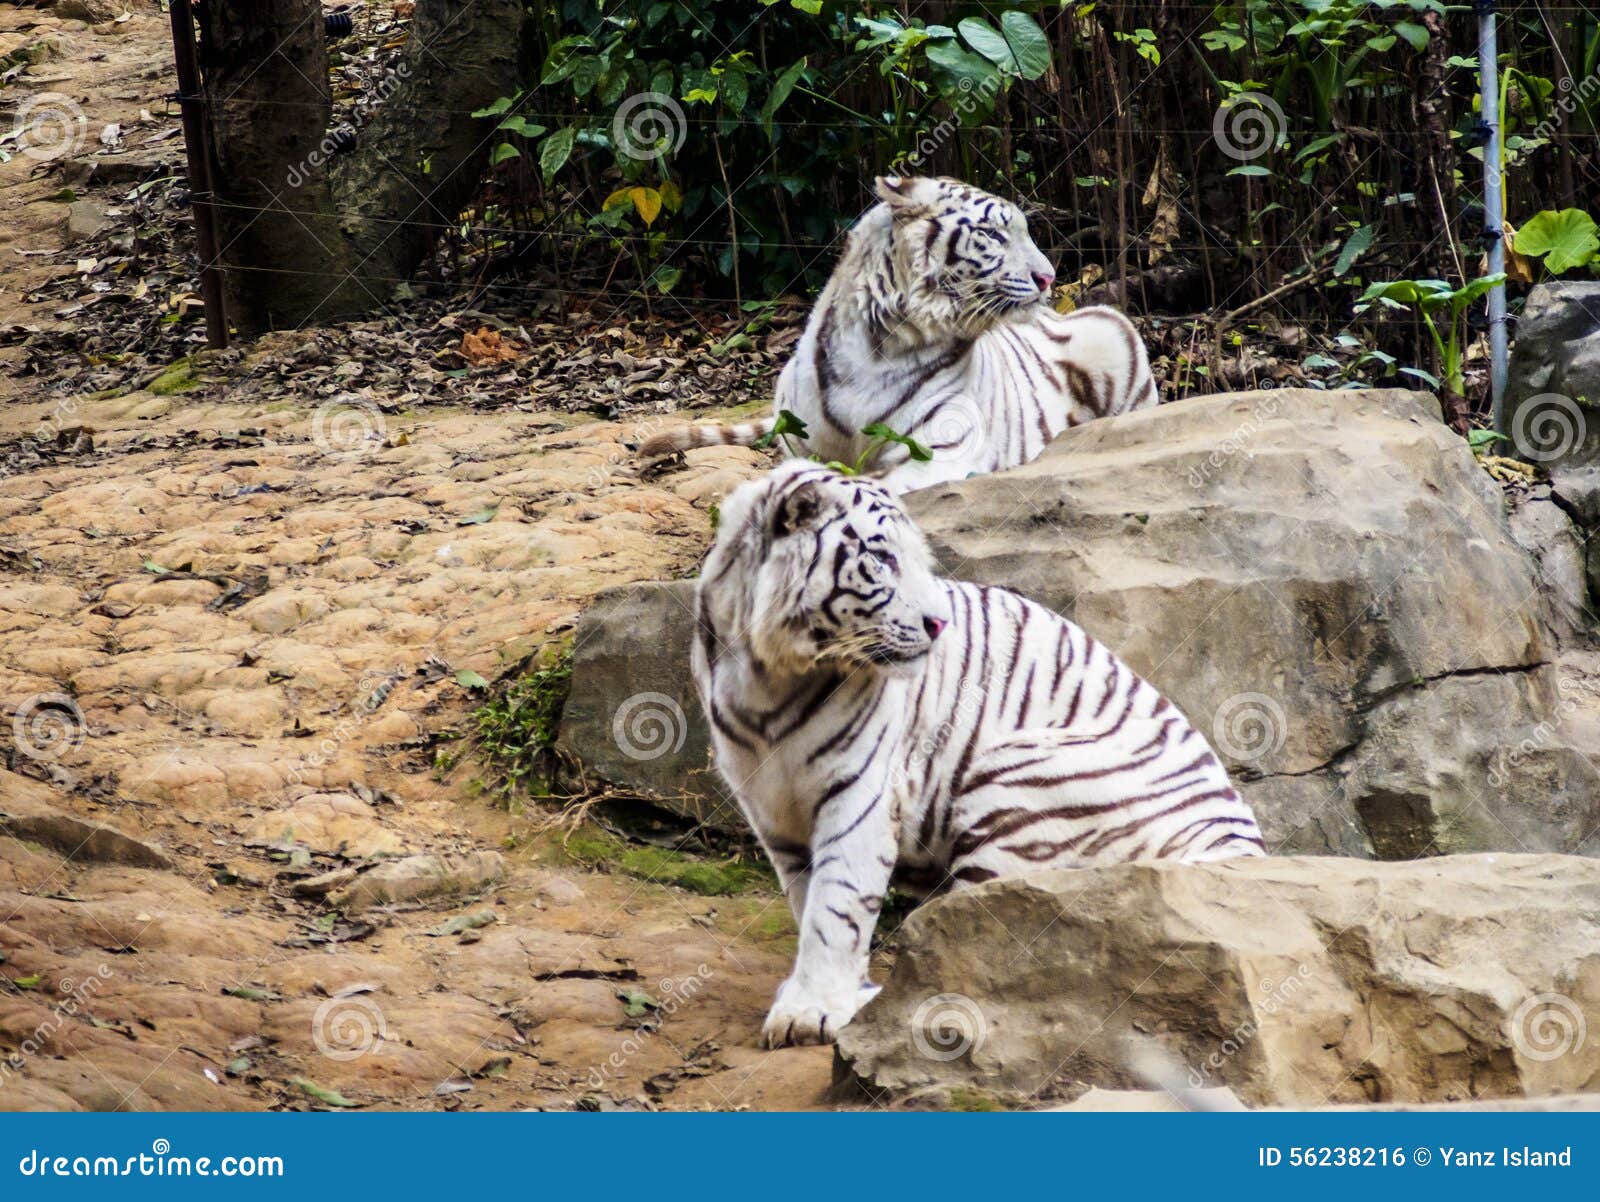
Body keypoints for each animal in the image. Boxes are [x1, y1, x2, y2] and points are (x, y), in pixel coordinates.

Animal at [640, 175, 1158, 493]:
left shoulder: (943, 447)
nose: (1049, 278)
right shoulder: (798, 440)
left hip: (1112, 331)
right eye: (992, 235)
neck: (881, 345)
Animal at [693, 461, 1265, 1048]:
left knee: (974, 937)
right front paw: (825, 994)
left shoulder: (859, 795)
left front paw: (812, 1011)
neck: (769, 676)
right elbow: (806, 899)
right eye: (883, 559)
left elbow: (837, 907)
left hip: (1016, 777)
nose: (937, 624)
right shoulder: (770, 810)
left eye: (918, 560)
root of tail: (1237, 847)